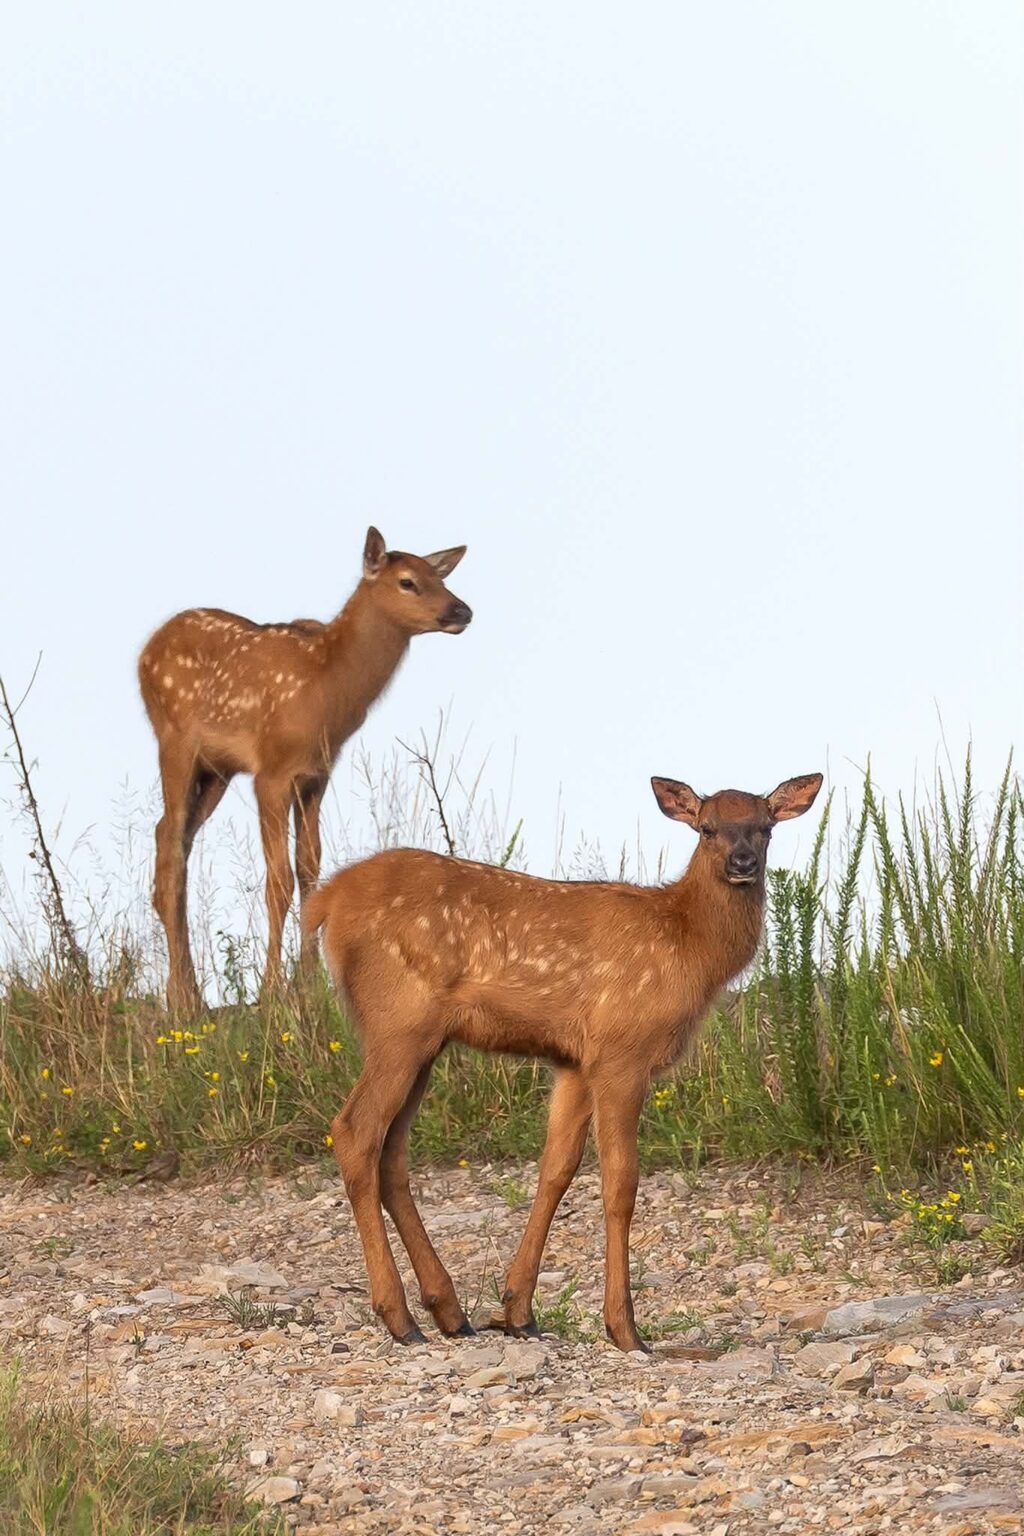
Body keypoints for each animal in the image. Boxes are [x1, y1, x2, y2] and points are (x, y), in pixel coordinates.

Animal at [138, 527, 471, 1012]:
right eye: (408, 581)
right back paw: (184, 997)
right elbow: (278, 881)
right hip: (175, 742)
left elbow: (311, 869)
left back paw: (184, 992)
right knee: (172, 851)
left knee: (169, 834)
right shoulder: (271, 773)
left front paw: (310, 982)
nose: (462, 610)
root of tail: (144, 652)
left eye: (440, 576)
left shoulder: (316, 776)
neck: (327, 693)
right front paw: (272, 991)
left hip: (216, 770)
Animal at [304, 769, 822, 1354]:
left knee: (391, 1152)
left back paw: (449, 1312)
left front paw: (518, 1311)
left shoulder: (574, 1061)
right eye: (707, 827)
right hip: (399, 1023)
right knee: (355, 1130)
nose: (742, 862)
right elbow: (621, 1182)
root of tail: (326, 901)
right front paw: (624, 1328)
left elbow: (556, 1169)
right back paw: (400, 1317)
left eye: (765, 826)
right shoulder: (622, 1050)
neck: (687, 947)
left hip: (423, 1042)